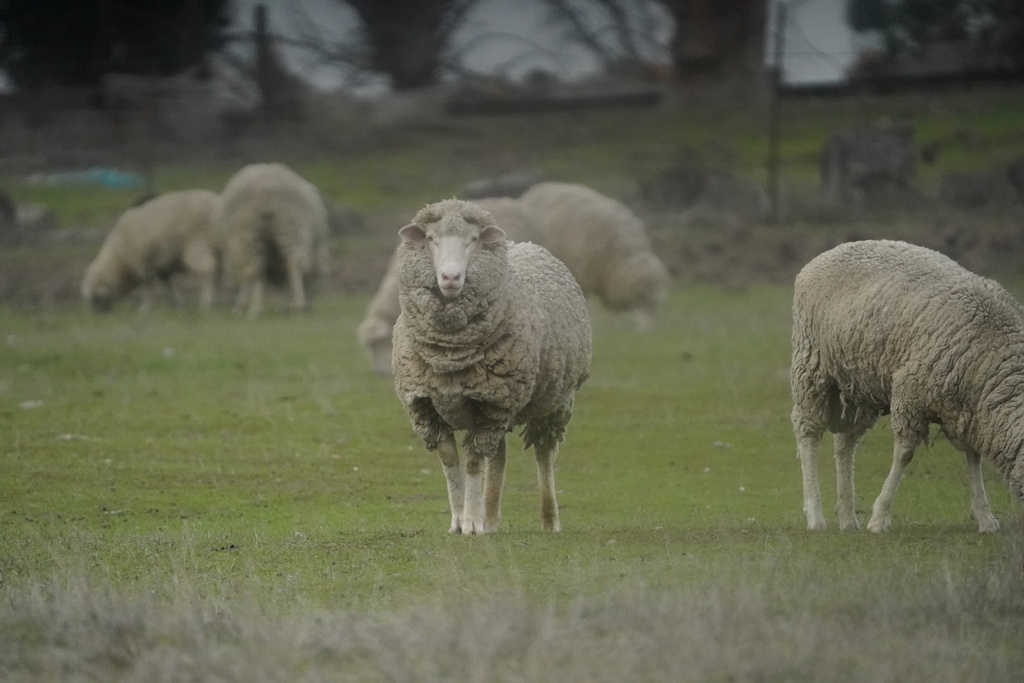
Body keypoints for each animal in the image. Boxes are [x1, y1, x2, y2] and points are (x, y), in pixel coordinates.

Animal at [81, 189, 221, 312]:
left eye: (95, 298)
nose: (97, 316)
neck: (119, 258)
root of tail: (216, 200)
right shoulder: (163, 268)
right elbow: (168, 286)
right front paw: (177, 305)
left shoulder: (142, 266)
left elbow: (148, 288)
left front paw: (145, 309)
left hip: (197, 245)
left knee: (207, 270)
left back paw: (206, 303)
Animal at [217, 163, 330, 318]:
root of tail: (268, 194)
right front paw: (283, 306)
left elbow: (246, 275)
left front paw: (241, 307)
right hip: (292, 226)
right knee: (294, 263)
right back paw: (298, 306)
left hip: (247, 231)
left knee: (254, 267)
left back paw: (255, 310)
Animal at [392, 198, 592, 534]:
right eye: (431, 238)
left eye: (473, 239)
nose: (450, 277)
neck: (448, 354)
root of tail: (525, 244)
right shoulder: (428, 405)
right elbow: (450, 460)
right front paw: (459, 520)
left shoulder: (490, 404)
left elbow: (473, 462)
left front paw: (472, 523)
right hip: (499, 406)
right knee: (498, 455)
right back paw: (491, 518)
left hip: (553, 401)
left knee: (543, 454)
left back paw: (548, 520)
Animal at [517, 181, 670, 331]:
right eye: (641, 297)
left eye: (656, 306)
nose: (650, 331)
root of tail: (534, 191)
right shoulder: (584, 274)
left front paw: (615, 326)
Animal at [791, 239, 1024, 533]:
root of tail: (829, 252)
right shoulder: (910, 391)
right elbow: (905, 454)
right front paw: (880, 517)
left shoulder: (966, 407)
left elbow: (972, 456)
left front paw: (985, 516)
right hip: (812, 367)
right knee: (808, 432)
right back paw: (815, 515)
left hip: (859, 383)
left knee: (846, 443)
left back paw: (847, 517)